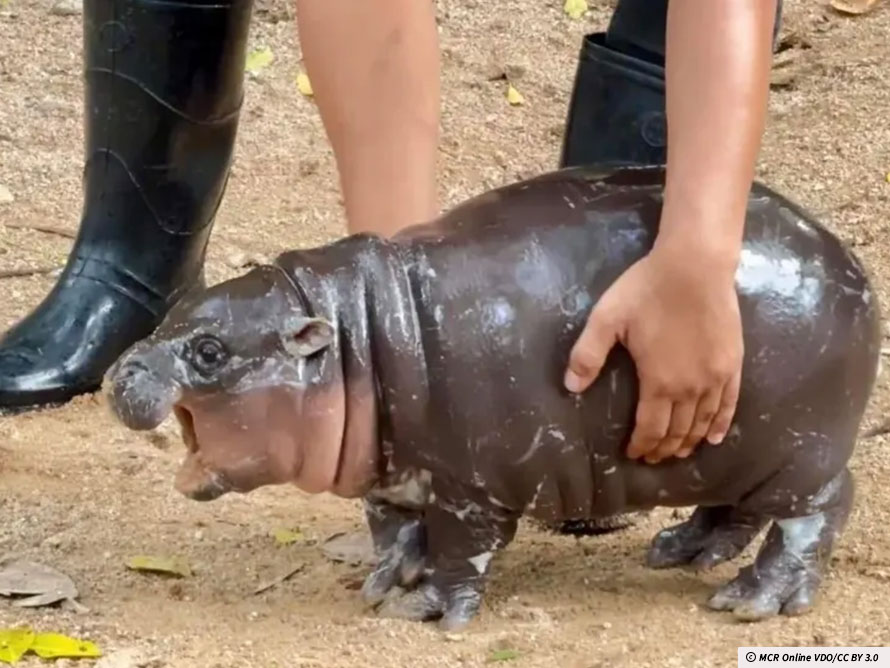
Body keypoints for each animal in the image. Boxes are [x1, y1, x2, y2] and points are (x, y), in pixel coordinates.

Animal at [105, 165, 882, 631]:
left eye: (210, 351)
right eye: (174, 311)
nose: (120, 372)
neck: (354, 337)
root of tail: (850, 260)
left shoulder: (470, 488)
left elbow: (460, 551)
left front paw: (426, 610)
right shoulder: (394, 477)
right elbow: (393, 528)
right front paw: (385, 581)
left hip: (800, 452)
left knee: (816, 512)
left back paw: (751, 602)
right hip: (728, 447)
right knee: (736, 509)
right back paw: (678, 552)